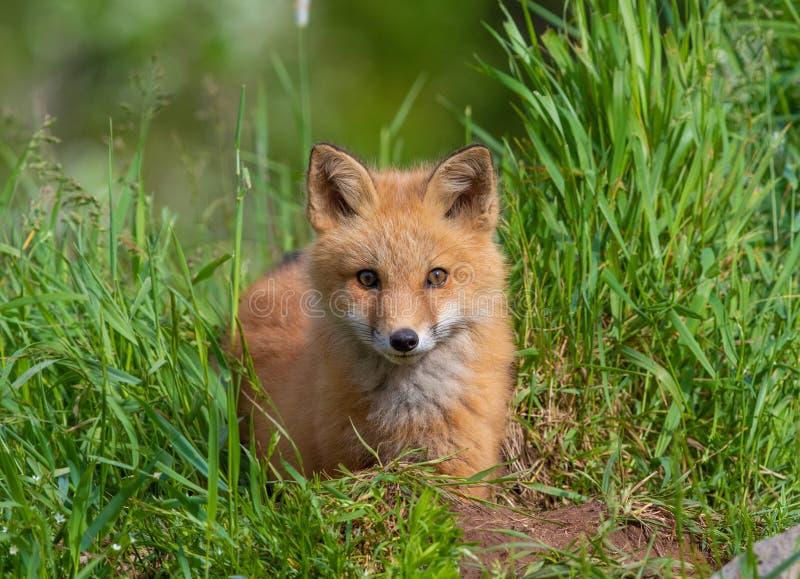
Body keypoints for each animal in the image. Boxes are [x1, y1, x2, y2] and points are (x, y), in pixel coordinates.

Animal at [235, 143, 516, 495]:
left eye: (437, 276)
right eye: (368, 278)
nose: (404, 339)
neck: (406, 415)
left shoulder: (464, 465)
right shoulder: (345, 459)